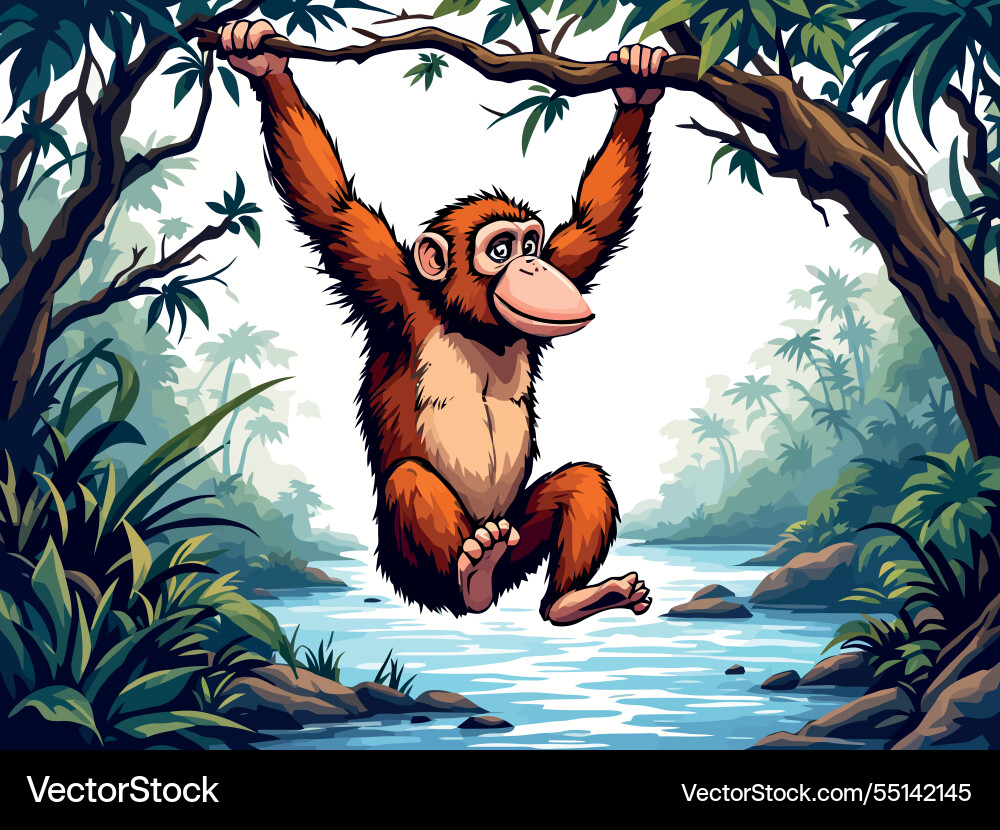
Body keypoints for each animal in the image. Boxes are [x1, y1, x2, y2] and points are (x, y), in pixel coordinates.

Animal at [218, 19, 665, 625]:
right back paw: (471, 576)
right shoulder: (389, 284)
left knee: (582, 482)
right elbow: (329, 204)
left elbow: (595, 224)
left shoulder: (566, 260)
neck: (471, 321)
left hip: (519, 541)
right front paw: (263, 61)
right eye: (500, 250)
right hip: (413, 563)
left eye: (531, 245)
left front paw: (637, 85)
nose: (531, 265)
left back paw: (570, 598)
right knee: (411, 482)